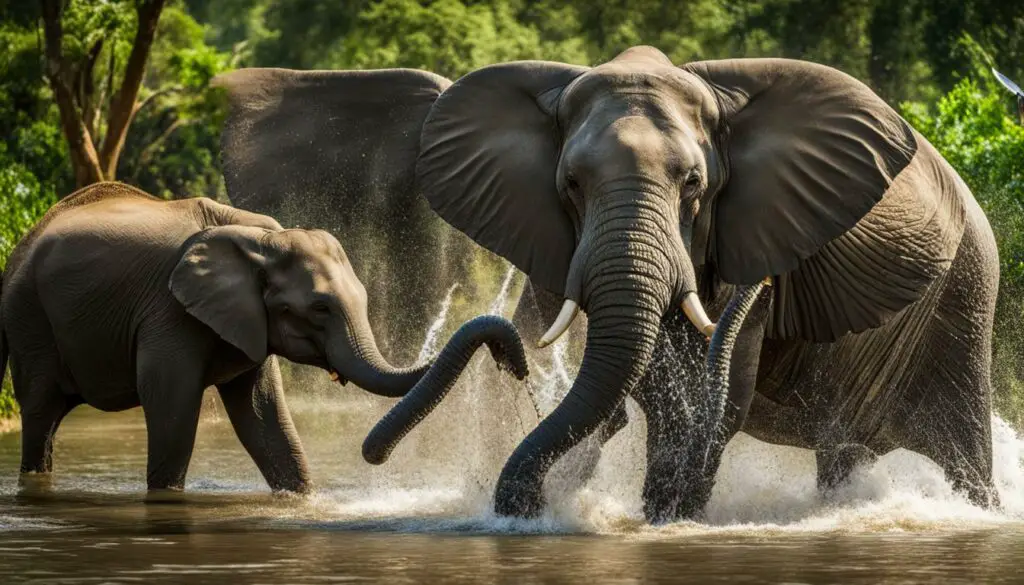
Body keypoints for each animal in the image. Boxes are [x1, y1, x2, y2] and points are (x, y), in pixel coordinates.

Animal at [0, 181, 525, 493]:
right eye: (319, 308)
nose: (513, 361)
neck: (260, 239)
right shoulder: (167, 314)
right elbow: (172, 406)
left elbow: (264, 414)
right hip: (28, 318)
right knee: (40, 412)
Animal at [215, 46, 999, 524]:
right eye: (569, 185)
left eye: (695, 185)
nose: (373, 452)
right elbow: (643, 382)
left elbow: (711, 393)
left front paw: (666, 521)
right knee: (844, 452)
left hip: (965, 295)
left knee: (963, 444)